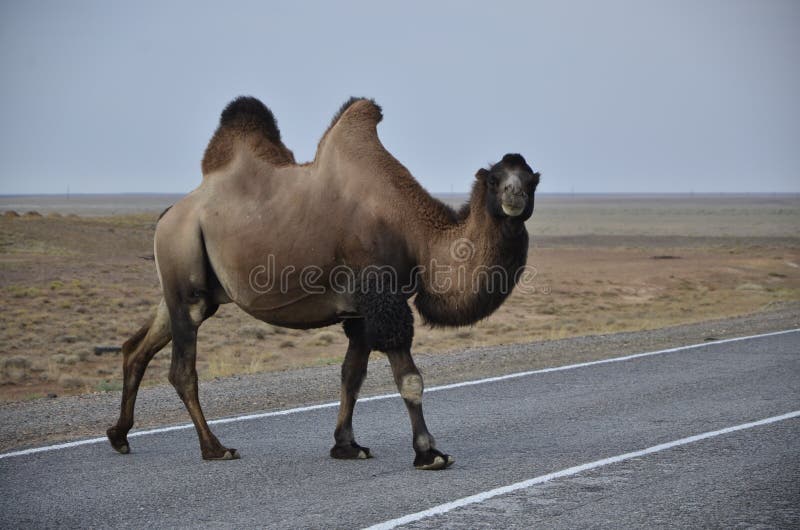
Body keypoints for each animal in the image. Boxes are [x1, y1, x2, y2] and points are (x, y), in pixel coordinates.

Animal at [107, 96, 540, 470]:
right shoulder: (382, 294)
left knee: (138, 347)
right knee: (182, 368)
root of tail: (169, 213)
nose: (514, 196)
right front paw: (428, 453)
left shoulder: (362, 308)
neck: (415, 231)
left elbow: (352, 376)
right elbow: (409, 379)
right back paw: (215, 448)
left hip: (188, 282)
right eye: (495, 179)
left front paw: (347, 445)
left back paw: (119, 436)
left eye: (531, 179)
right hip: (183, 258)